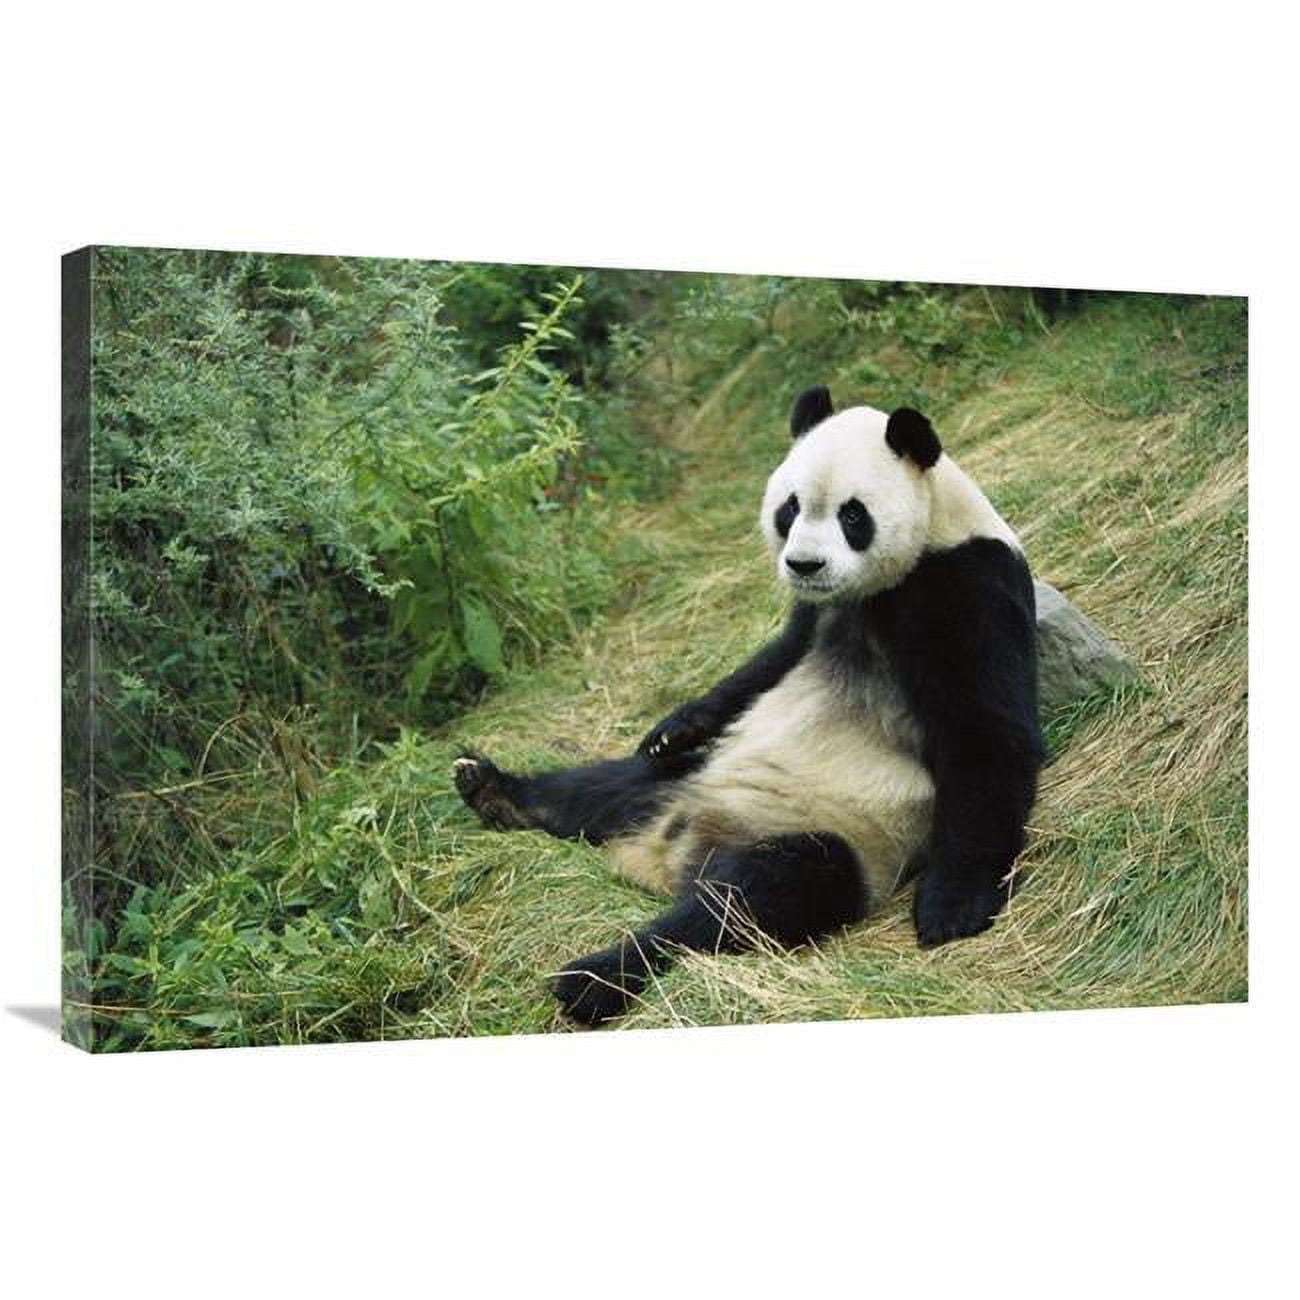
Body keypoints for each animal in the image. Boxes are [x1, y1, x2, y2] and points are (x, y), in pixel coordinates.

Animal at [453, 386, 1043, 1025]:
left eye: (852, 515)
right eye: (790, 507)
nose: (803, 564)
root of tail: (669, 855)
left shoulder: (967, 587)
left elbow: (985, 732)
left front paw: (953, 908)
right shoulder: (816, 616)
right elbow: (768, 665)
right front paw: (674, 726)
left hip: (842, 838)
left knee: (754, 897)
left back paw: (595, 978)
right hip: (692, 777)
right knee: (609, 785)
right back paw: (494, 790)